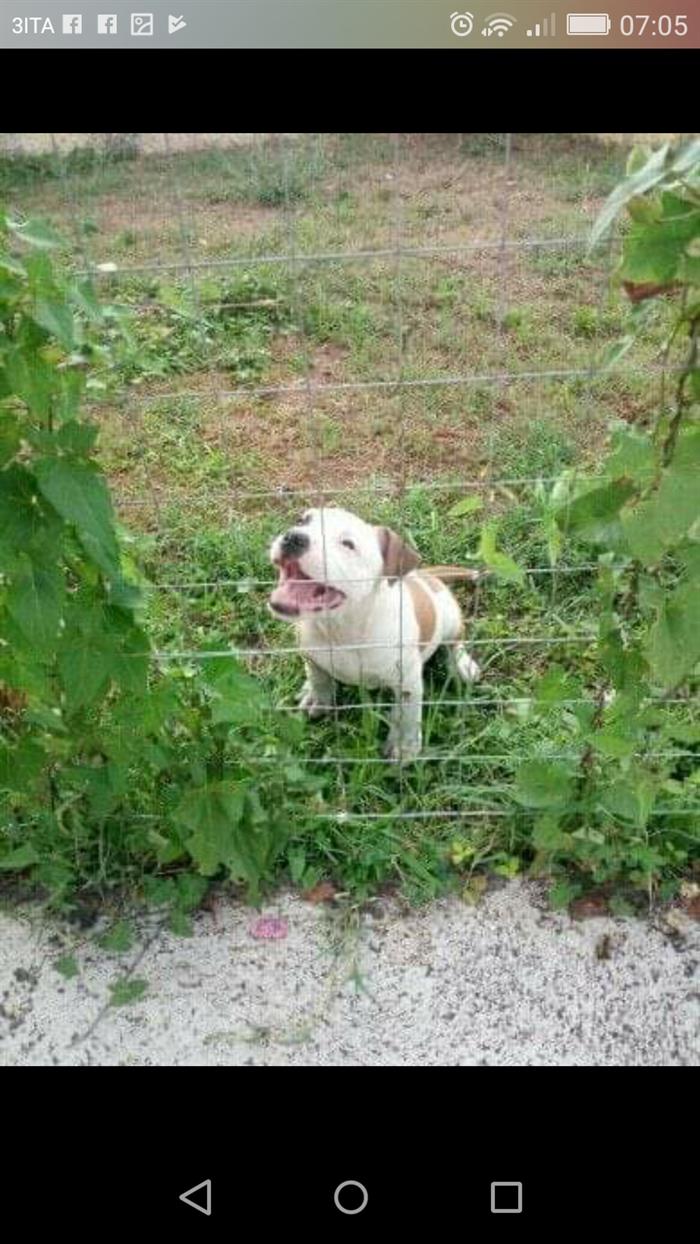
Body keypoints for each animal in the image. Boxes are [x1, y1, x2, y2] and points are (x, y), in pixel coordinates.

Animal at [268, 505, 482, 756]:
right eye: (301, 521)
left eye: (348, 544)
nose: (293, 536)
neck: (341, 629)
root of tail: (425, 575)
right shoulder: (310, 653)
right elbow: (318, 676)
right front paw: (318, 698)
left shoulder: (407, 681)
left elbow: (407, 715)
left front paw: (404, 746)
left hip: (449, 617)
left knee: (454, 642)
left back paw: (462, 665)